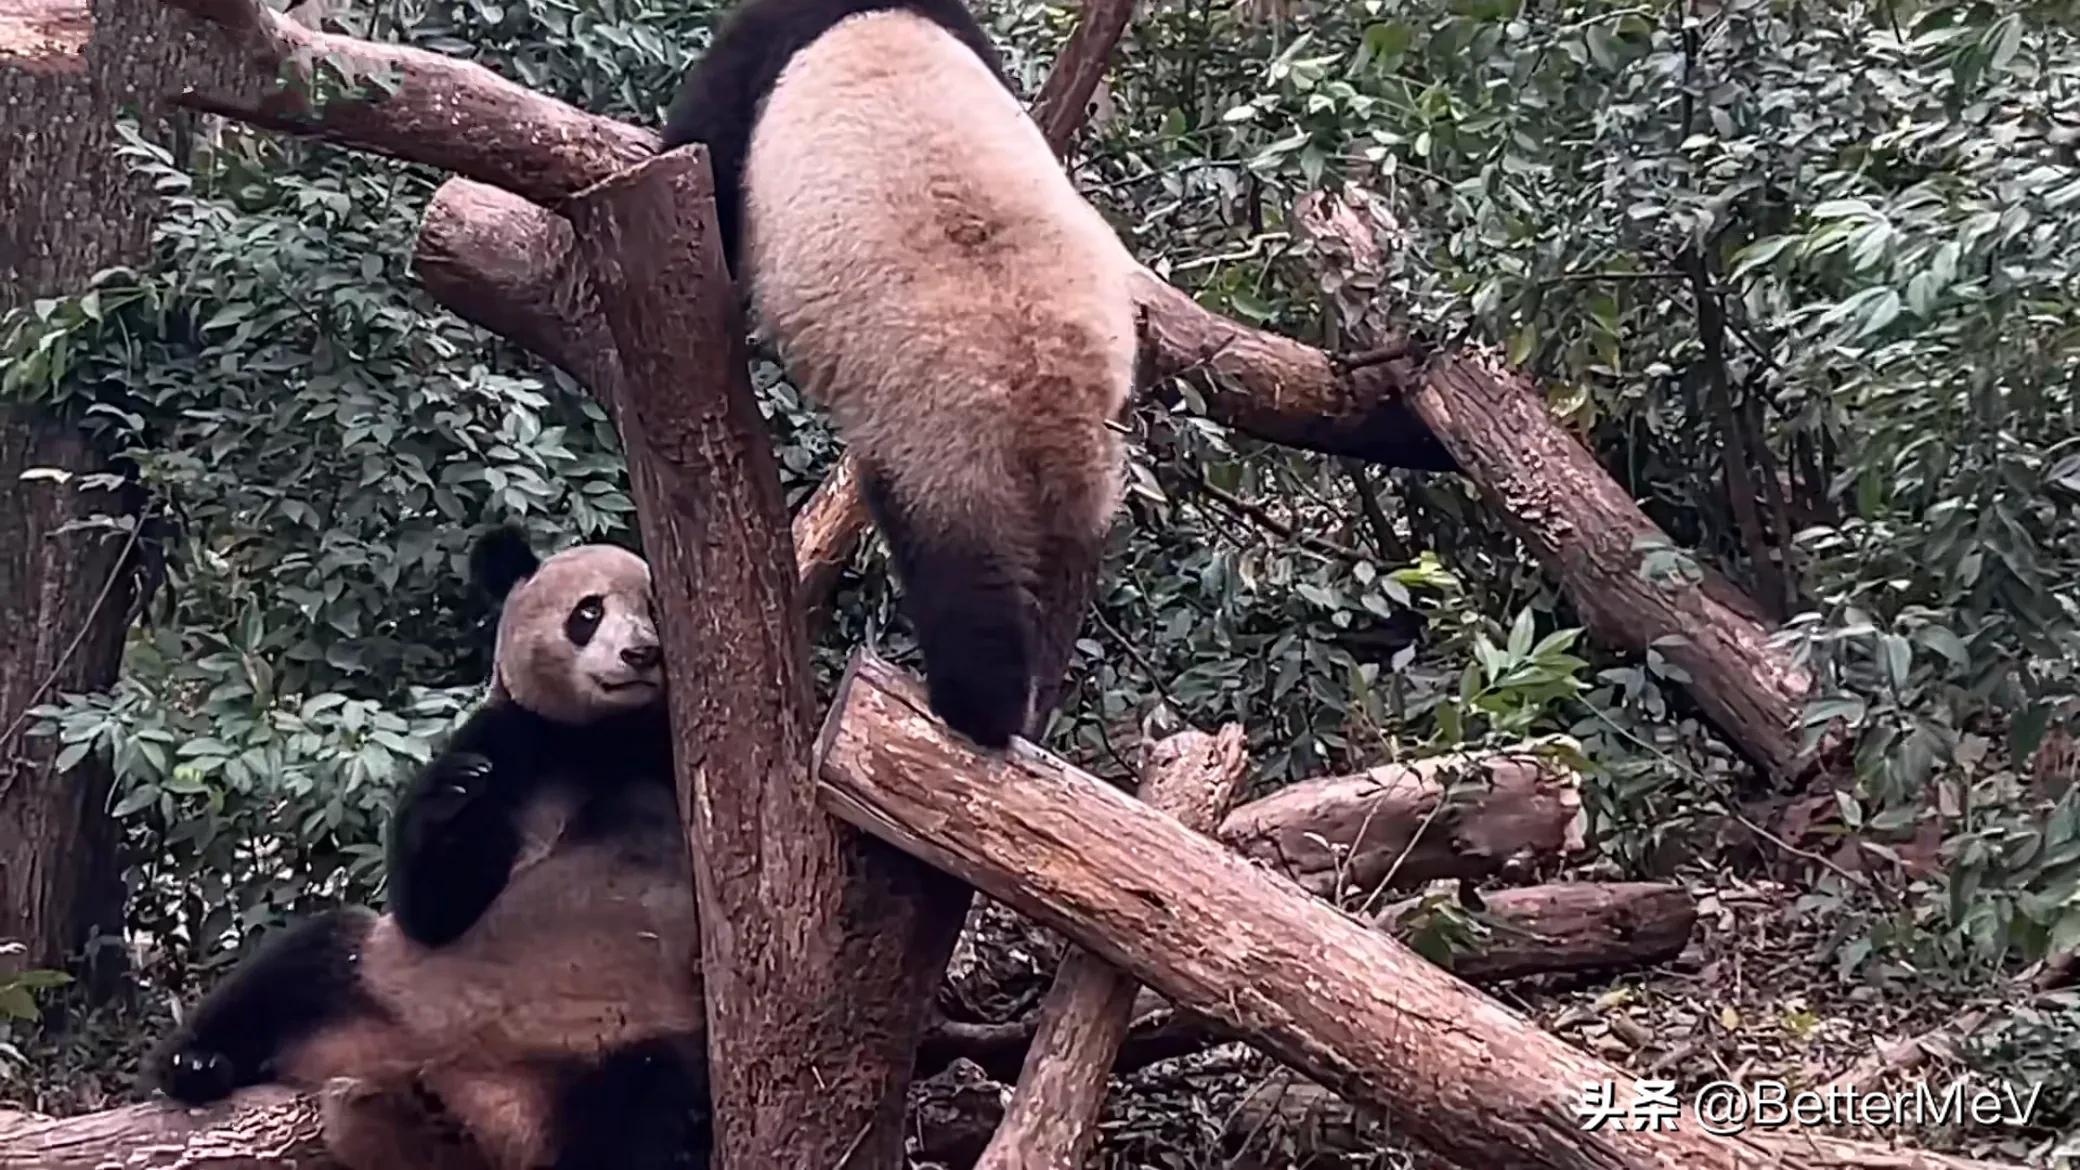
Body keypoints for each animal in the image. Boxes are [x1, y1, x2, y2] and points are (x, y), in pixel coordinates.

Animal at [147, 526, 709, 1170]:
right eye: (588, 612)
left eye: (654, 610)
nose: (640, 653)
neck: (606, 735)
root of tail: (466, 1085)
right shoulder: (518, 743)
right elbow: (435, 904)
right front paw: (452, 794)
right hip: (385, 979)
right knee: (298, 965)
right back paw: (195, 1064)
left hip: (619, 1044)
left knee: (636, 1120)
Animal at [661, 0, 1143, 749]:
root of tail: (1045, 381)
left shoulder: (770, 41)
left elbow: (706, 146)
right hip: (1088, 467)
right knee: (1061, 576)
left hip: (940, 425)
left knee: (961, 577)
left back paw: (977, 709)